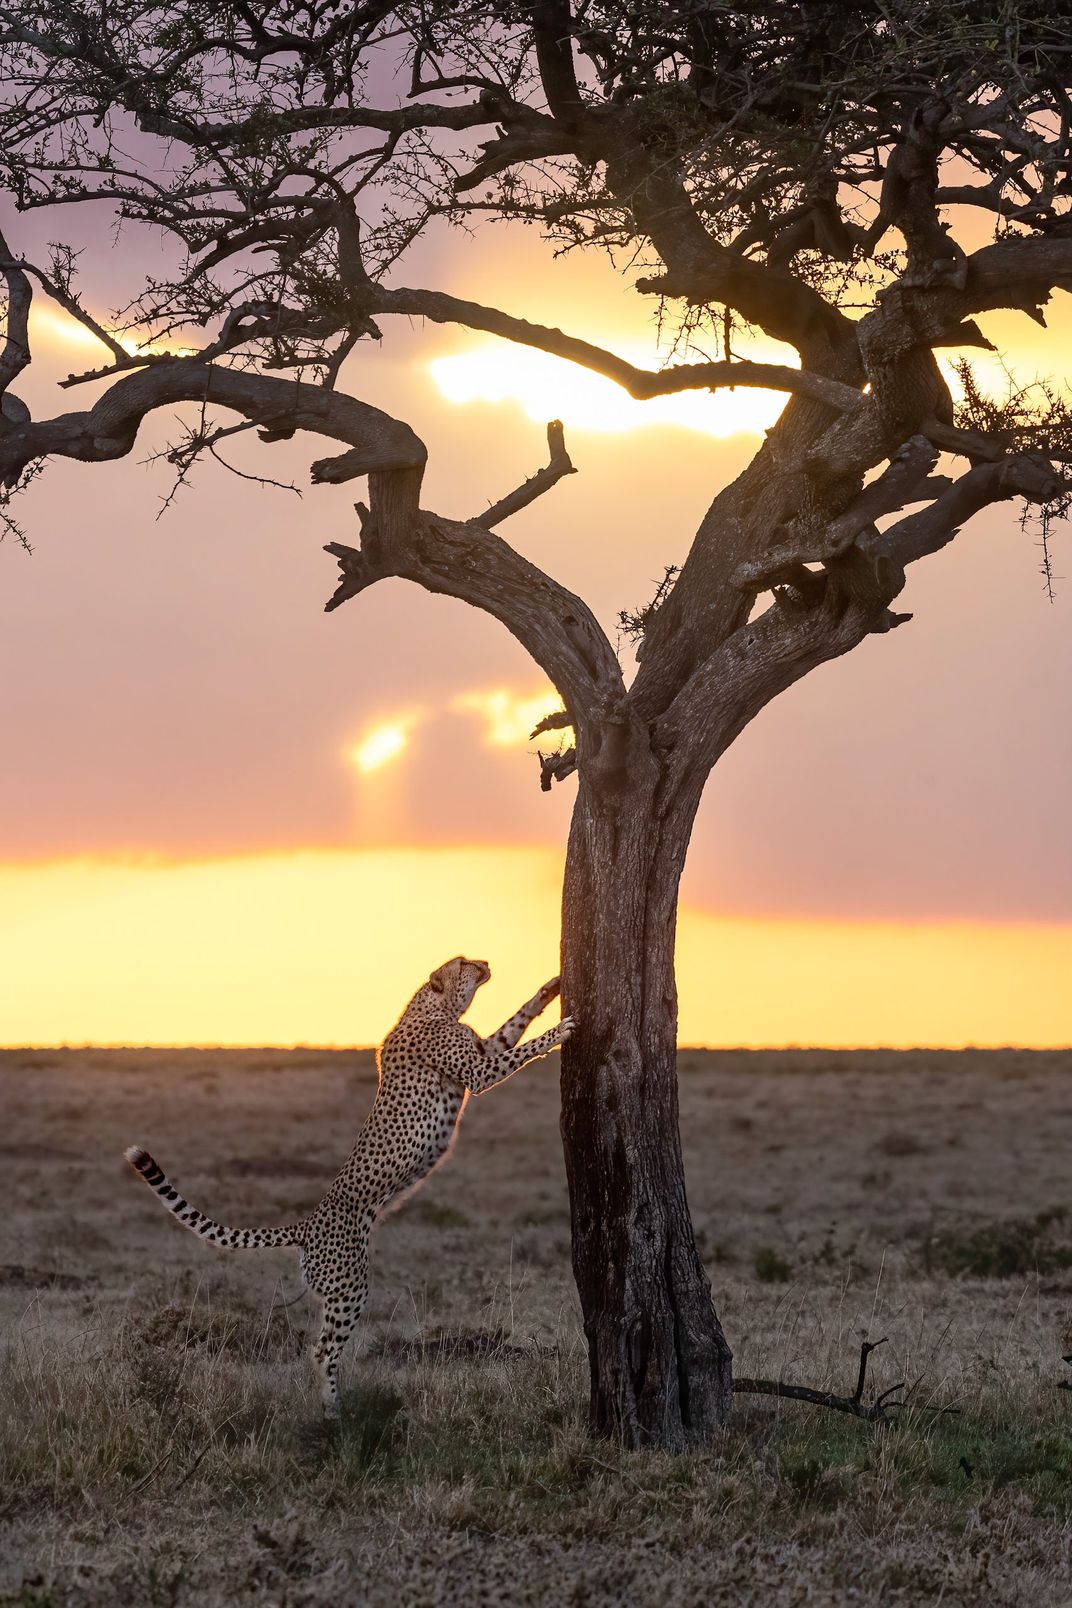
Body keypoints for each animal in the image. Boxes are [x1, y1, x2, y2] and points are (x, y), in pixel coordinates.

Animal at [124, 957, 573, 1417]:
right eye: (463, 963)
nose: (484, 963)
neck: (435, 1008)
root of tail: (306, 1224)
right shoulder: (479, 1071)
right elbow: (520, 1049)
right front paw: (561, 1031)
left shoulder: (483, 1050)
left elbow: (513, 1024)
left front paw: (549, 989)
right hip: (351, 1283)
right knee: (322, 1348)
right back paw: (333, 1413)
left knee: (318, 1345)